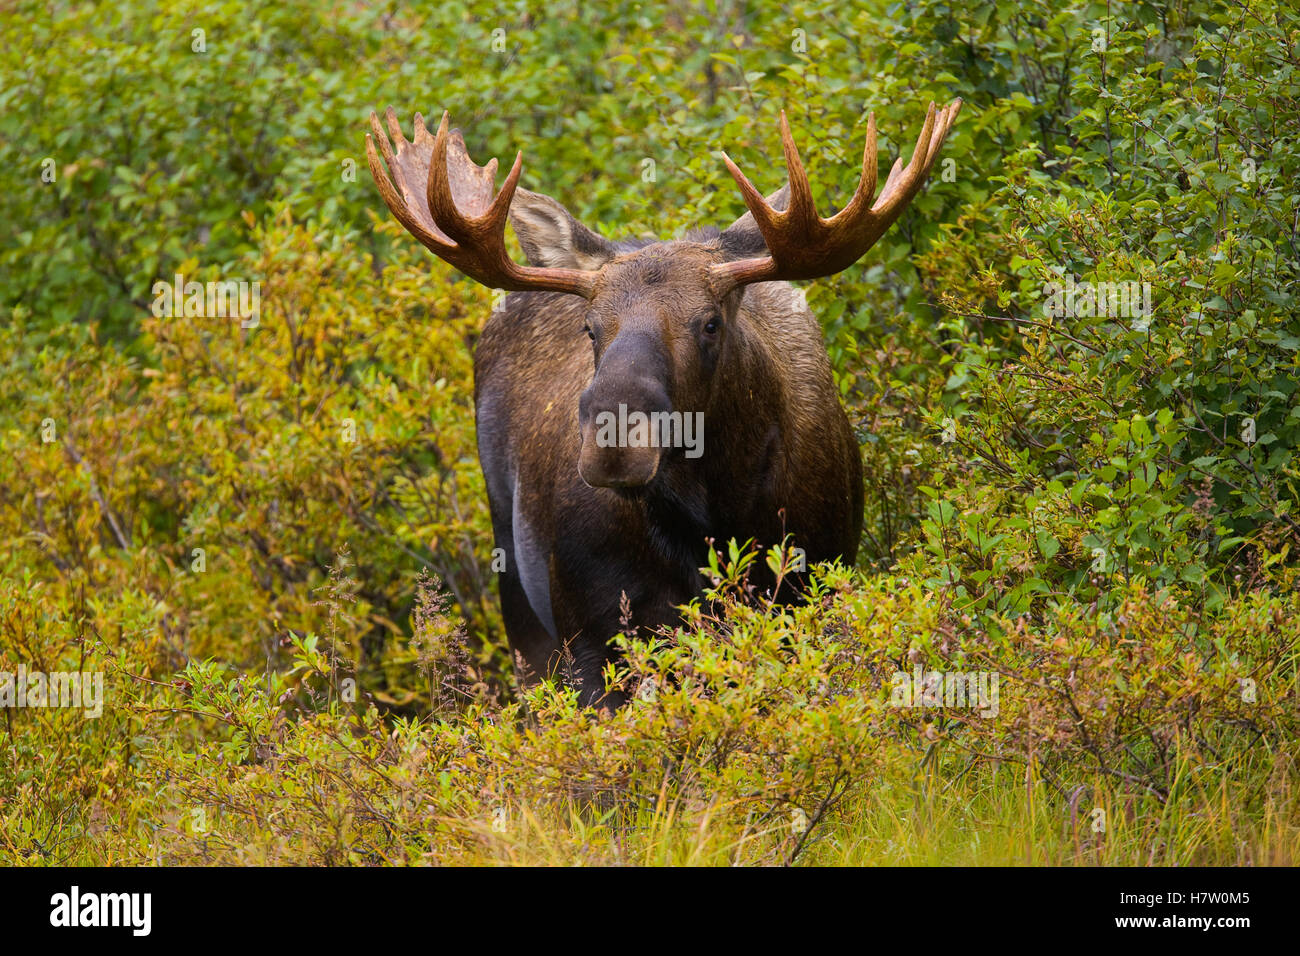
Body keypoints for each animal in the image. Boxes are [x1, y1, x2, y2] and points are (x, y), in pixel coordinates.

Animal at [366, 100, 961, 707]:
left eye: (711, 322)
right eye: (590, 327)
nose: (614, 442)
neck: (716, 519)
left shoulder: (813, 585)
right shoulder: (591, 636)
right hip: (515, 584)